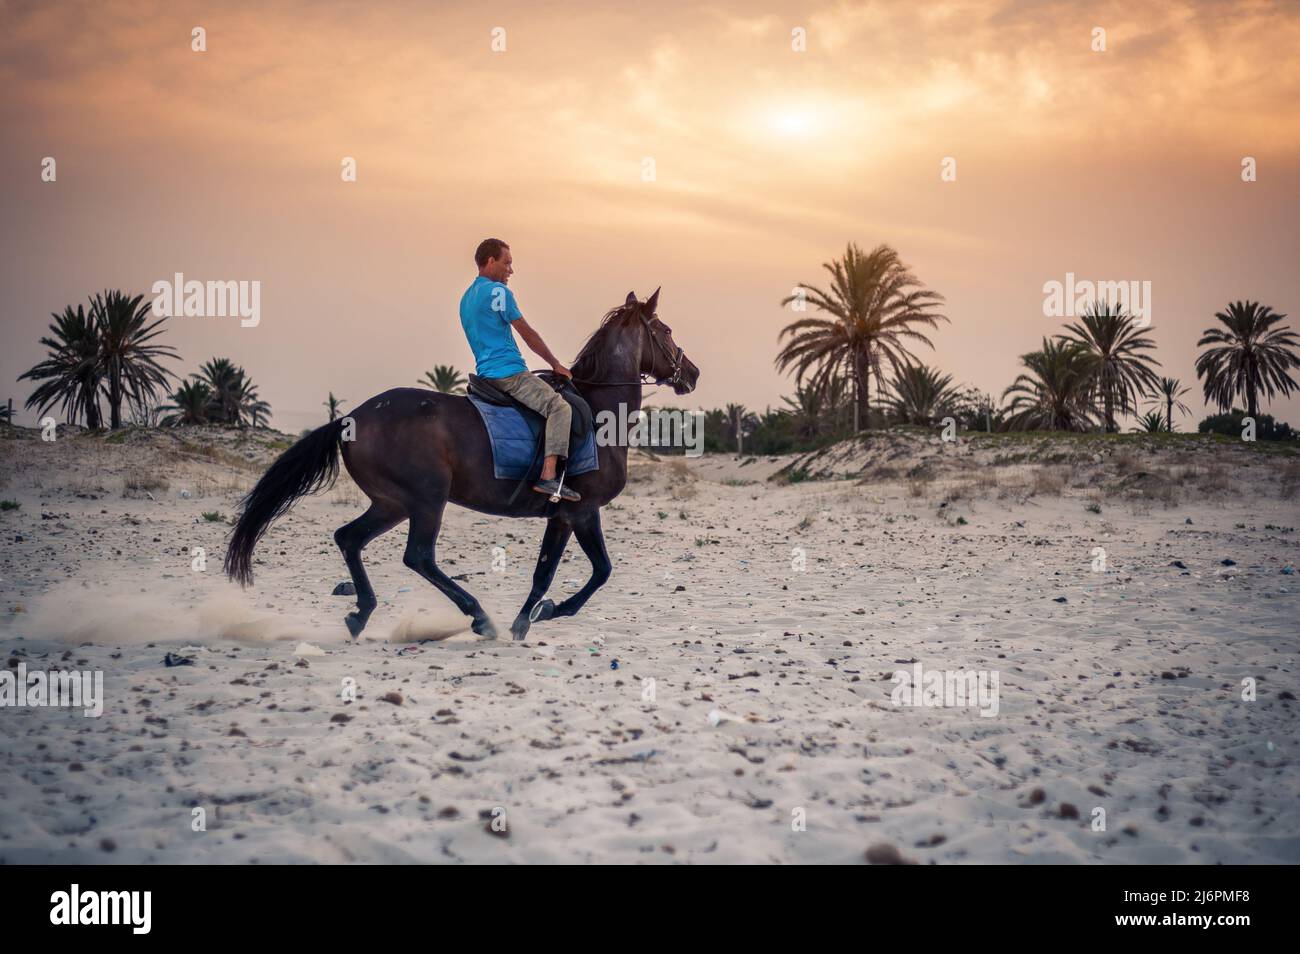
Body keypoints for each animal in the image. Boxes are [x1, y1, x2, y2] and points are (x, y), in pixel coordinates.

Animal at [223, 288, 700, 641]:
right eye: (666, 329)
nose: (692, 373)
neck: (601, 412)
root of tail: (351, 417)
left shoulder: (569, 514)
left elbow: (560, 572)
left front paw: (533, 617)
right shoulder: (576, 511)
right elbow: (582, 573)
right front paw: (540, 615)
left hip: (392, 503)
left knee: (349, 538)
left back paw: (362, 612)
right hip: (426, 499)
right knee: (418, 556)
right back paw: (478, 617)